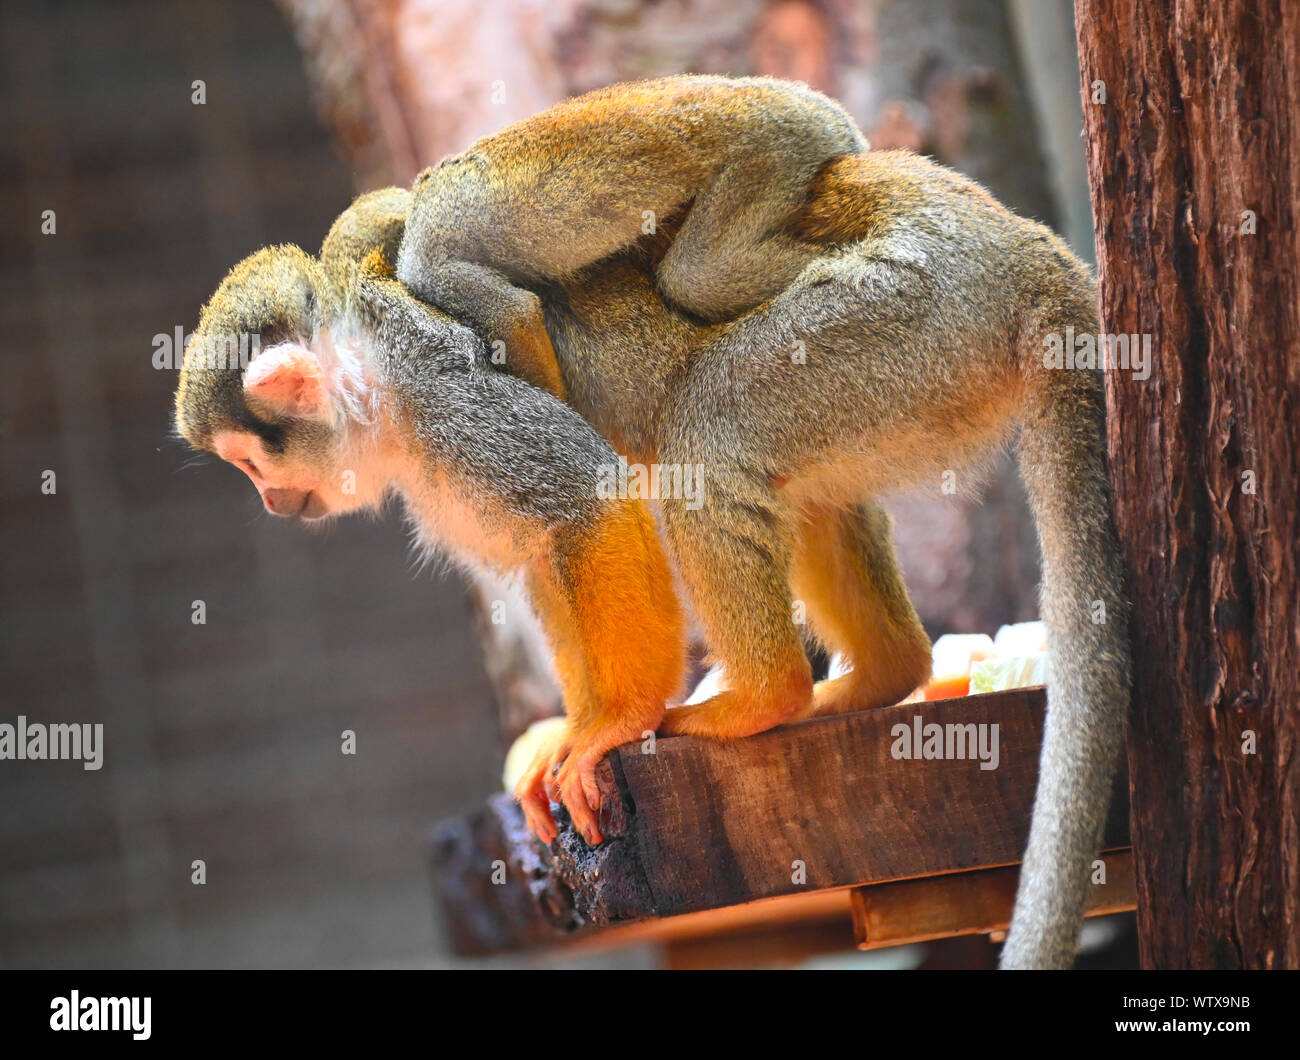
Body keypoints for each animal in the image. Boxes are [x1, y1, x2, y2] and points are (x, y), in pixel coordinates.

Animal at [173, 78, 1131, 970]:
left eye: (251, 464)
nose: (271, 503)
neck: (362, 371)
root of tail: (1023, 250)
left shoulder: (437, 389)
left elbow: (583, 496)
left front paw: (614, 723)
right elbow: (543, 552)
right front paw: (568, 731)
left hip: (912, 313)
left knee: (707, 427)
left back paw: (762, 698)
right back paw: (878, 673)